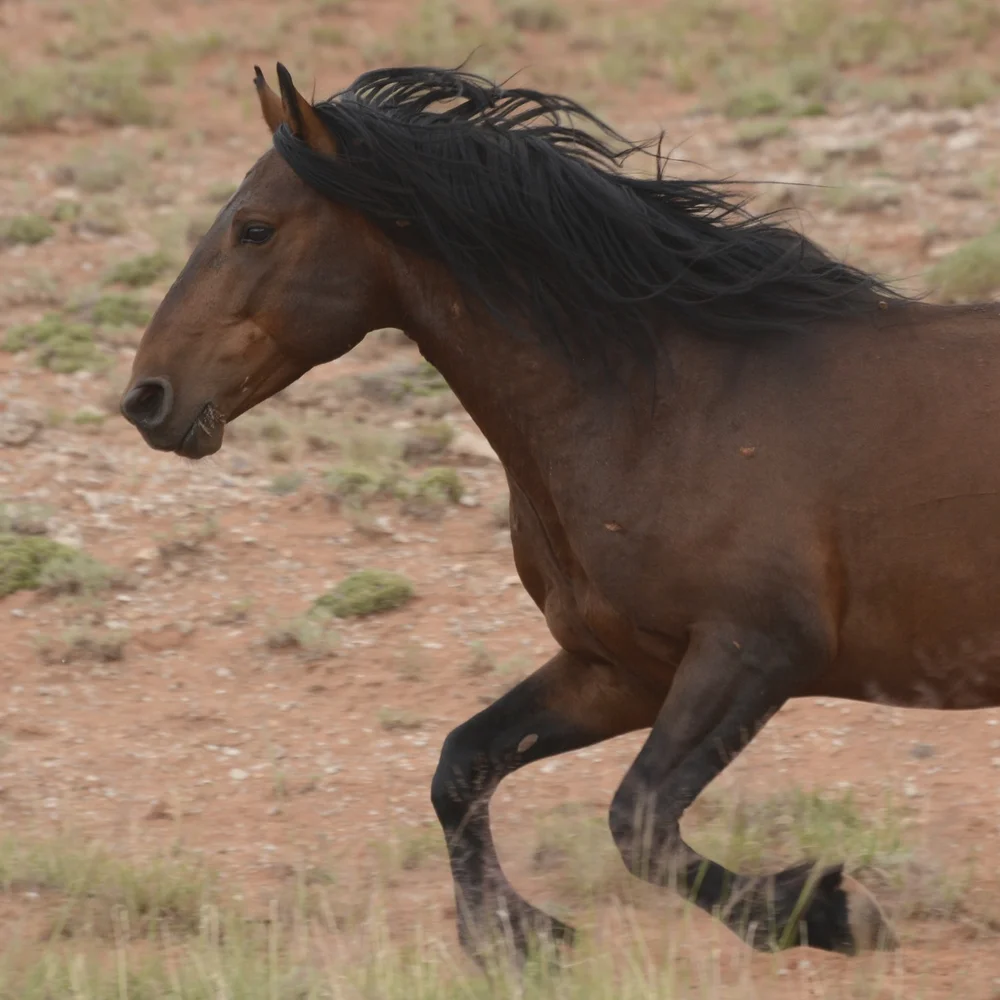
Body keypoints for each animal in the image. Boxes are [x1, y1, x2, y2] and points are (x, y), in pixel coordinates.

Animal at [120, 62, 1000, 963]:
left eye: (255, 230)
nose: (146, 398)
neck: (667, 407)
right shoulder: (623, 667)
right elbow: (461, 766)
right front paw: (516, 937)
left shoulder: (758, 650)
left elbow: (638, 819)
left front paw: (828, 912)